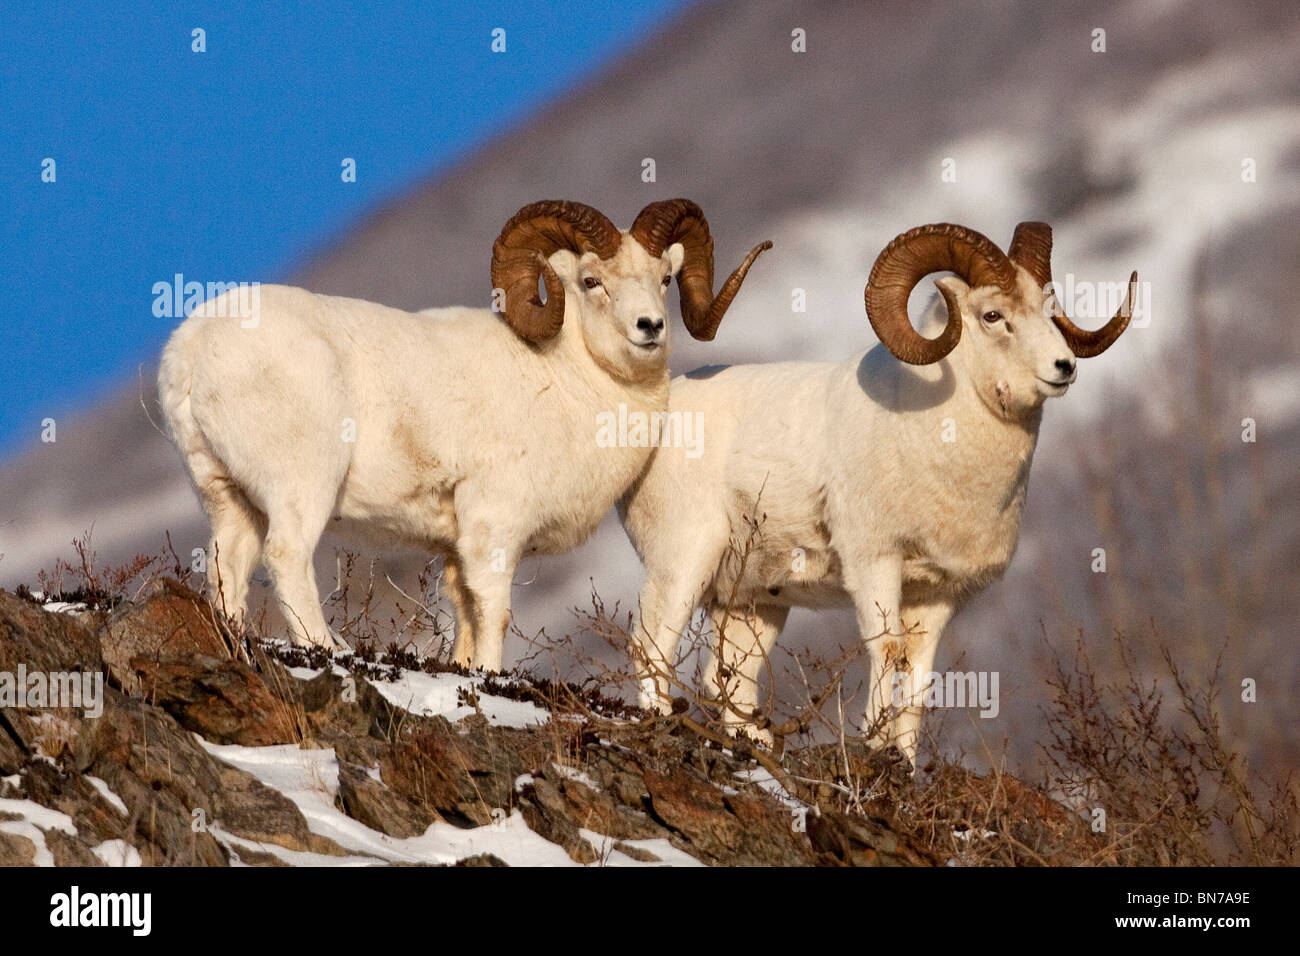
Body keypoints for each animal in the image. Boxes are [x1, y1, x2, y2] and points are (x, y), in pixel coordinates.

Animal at [158, 199, 770, 668]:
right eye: (591, 281)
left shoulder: (455, 550)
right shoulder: (494, 531)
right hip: (301, 488)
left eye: (664, 279)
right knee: (288, 559)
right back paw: (327, 650)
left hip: (230, 502)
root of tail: (191, 350)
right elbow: (494, 615)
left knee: (227, 573)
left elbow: (467, 621)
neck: (565, 381)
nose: (650, 327)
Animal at [618, 221, 1136, 763]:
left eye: (1048, 308)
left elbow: (919, 673)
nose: (1064, 367)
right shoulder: (874, 565)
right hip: (683, 564)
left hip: (753, 605)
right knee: (652, 646)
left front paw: (903, 762)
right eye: (993, 315)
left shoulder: (937, 595)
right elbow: (886, 650)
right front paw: (870, 746)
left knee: (729, 679)